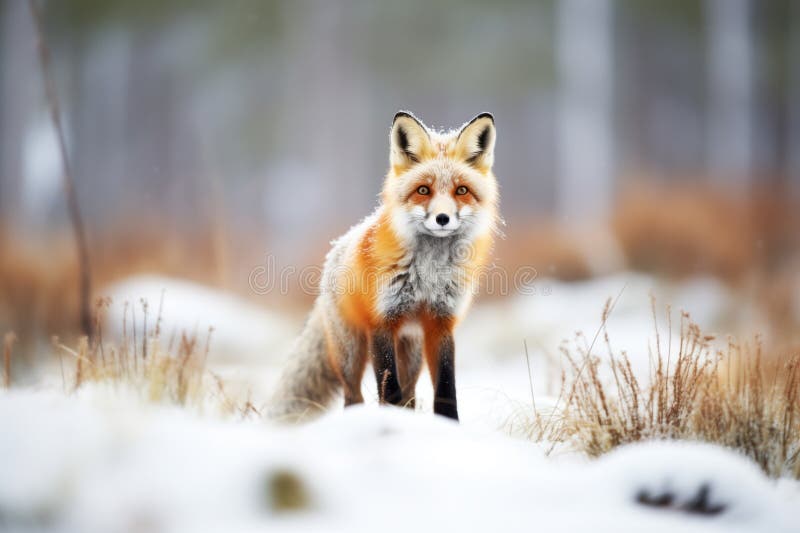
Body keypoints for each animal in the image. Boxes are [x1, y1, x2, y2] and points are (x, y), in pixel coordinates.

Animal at [269, 111, 500, 422]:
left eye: (461, 190)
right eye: (423, 190)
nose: (442, 218)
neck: (428, 272)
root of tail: (336, 248)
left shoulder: (440, 323)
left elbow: (446, 390)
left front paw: (449, 426)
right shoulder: (381, 320)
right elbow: (389, 391)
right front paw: (390, 419)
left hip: (412, 352)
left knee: (410, 394)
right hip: (351, 352)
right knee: (353, 395)